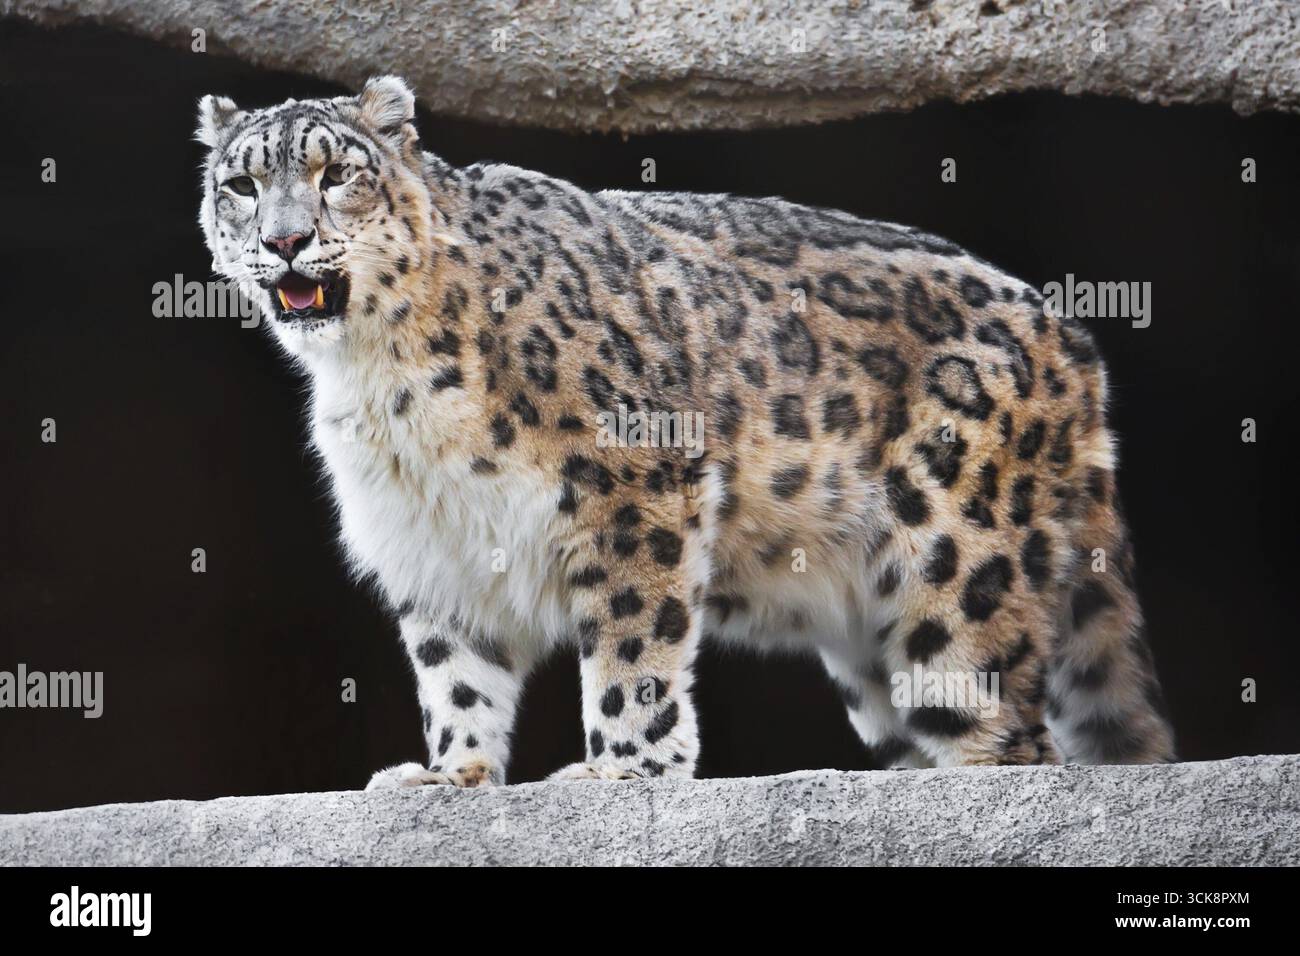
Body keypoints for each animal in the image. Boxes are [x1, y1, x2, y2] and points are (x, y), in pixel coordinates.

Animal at [195, 76, 1175, 788]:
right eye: (240, 186)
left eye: (335, 174)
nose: (284, 242)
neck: (380, 378)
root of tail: (1071, 335)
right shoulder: (430, 536)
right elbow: (456, 670)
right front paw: (451, 777)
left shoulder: (631, 487)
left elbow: (632, 639)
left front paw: (621, 770)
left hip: (956, 565)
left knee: (1005, 731)